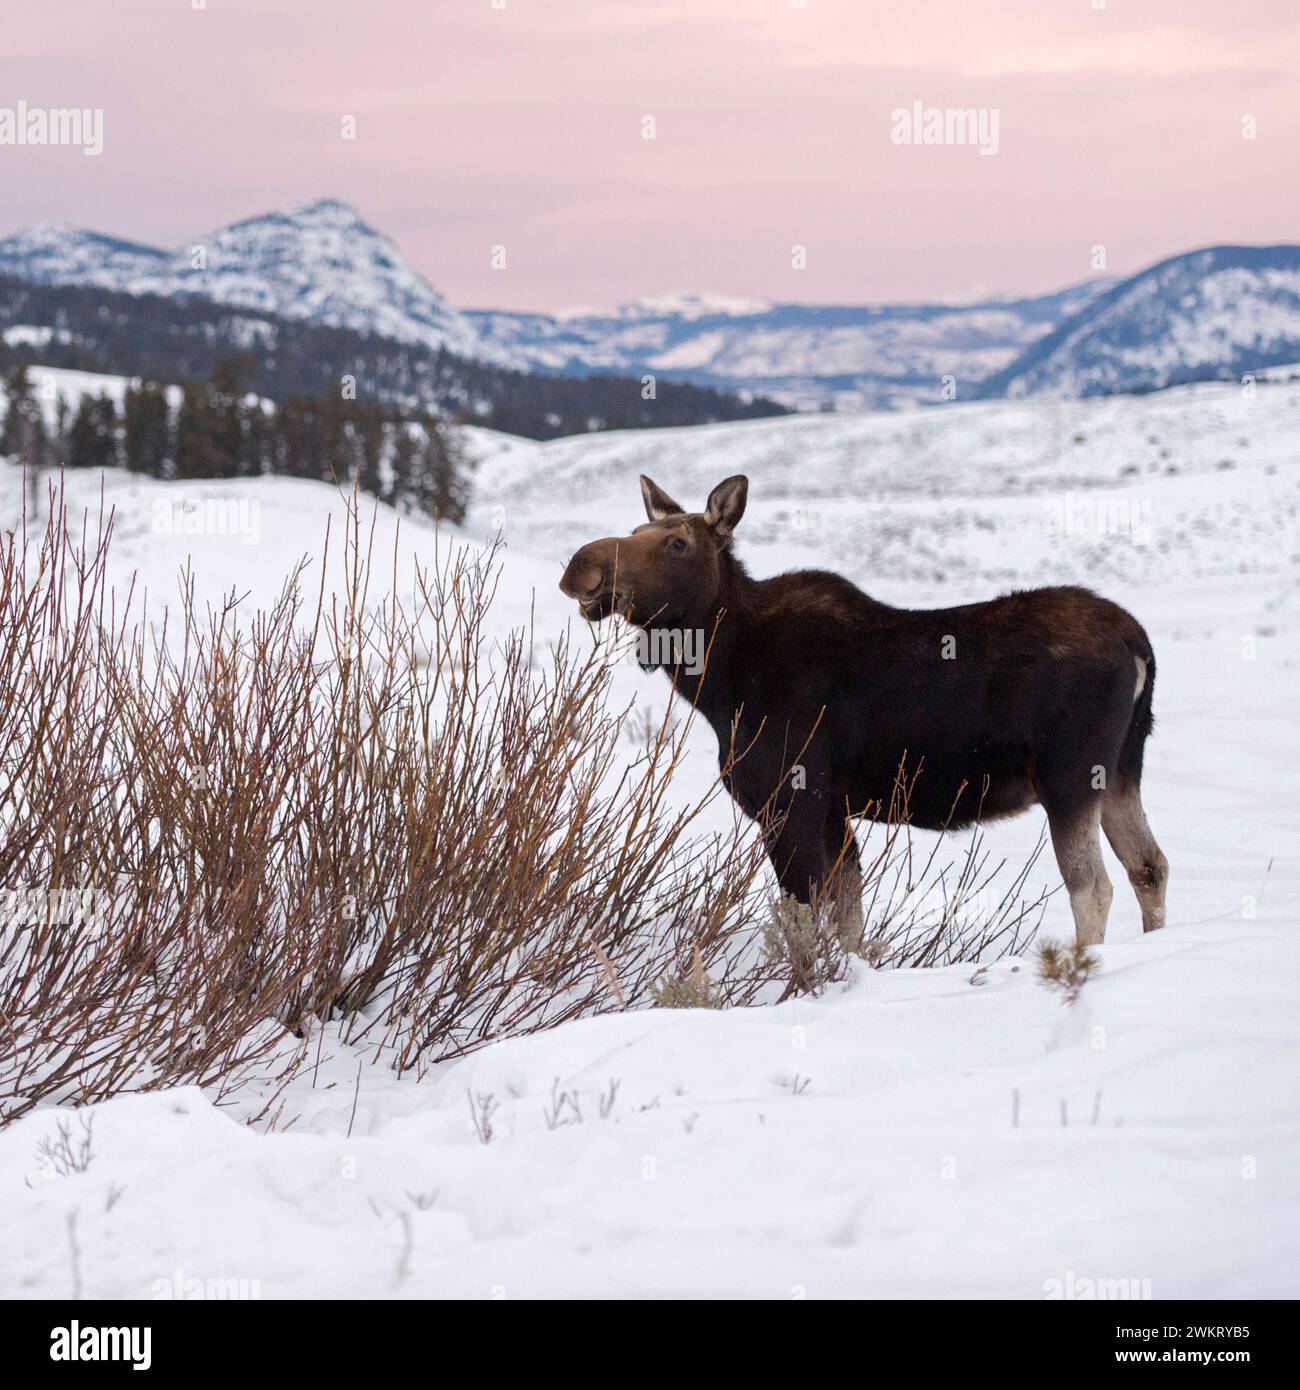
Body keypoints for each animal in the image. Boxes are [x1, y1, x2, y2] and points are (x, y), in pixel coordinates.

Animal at [559, 474, 1168, 947]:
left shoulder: (792, 799)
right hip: (1122, 769)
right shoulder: (834, 809)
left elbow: (803, 924)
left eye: (678, 543)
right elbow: (848, 919)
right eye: (637, 531)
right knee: (1149, 867)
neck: (717, 681)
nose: (580, 567)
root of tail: (1139, 645)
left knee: (1093, 887)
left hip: (1070, 777)